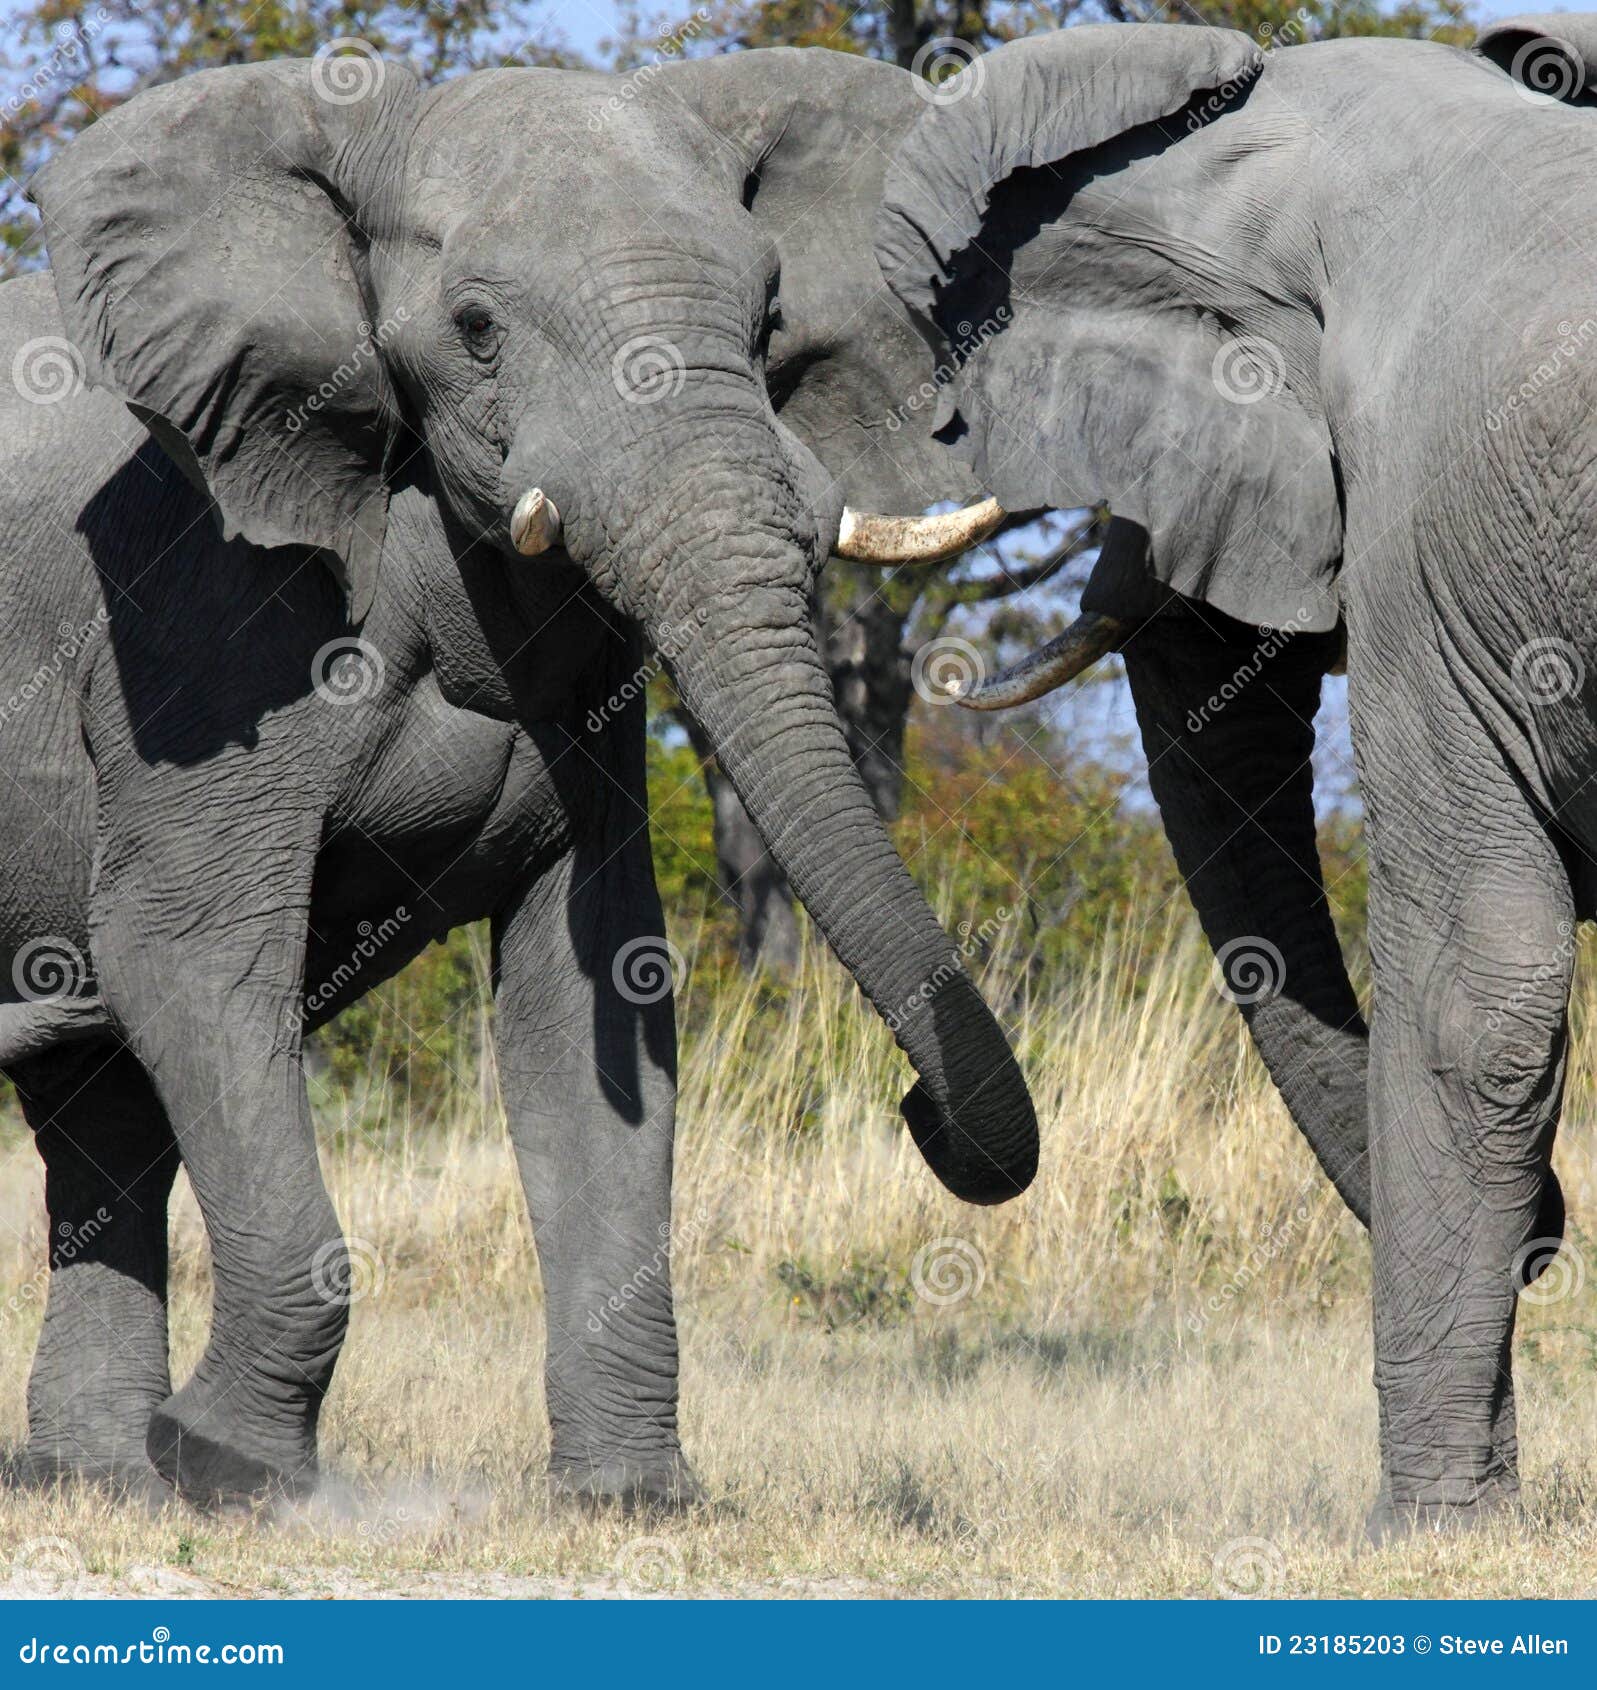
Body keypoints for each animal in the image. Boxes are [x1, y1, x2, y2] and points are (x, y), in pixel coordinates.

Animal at [0, 44, 1039, 1510]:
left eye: (769, 311)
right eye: (478, 326)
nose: (921, 1114)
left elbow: (594, 987)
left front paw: (632, 1503)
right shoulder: (204, 622)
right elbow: (189, 950)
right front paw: (229, 1470)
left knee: (102, 1101)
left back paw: (97, 1478)